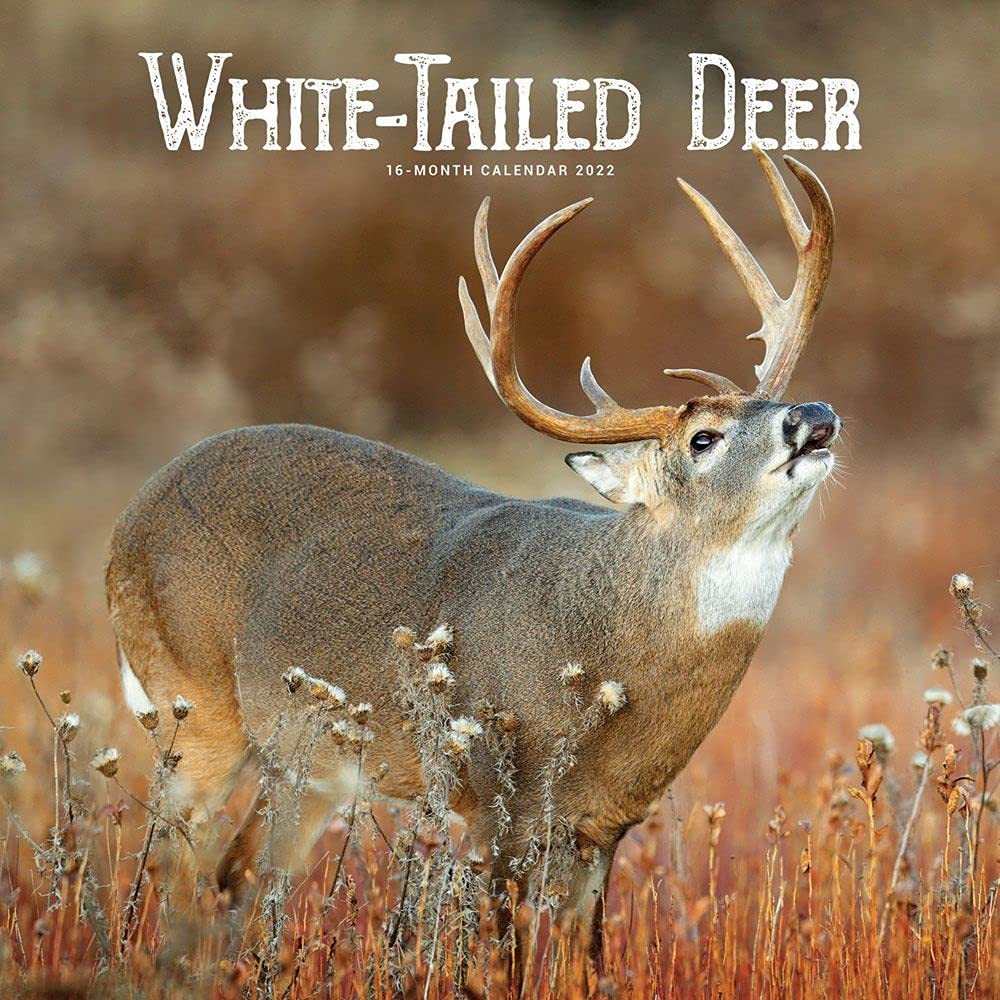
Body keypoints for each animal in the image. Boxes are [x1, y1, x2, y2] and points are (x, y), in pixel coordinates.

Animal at [105, 146, 839, 977]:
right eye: (702, 438)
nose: (814, 416)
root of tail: (128, 522)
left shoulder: (602, 832)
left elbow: (585, 970)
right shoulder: (497, 804)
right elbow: (501, 966)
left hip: (308, 762)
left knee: (236, 875)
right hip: (193, 703)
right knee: (175, 866)